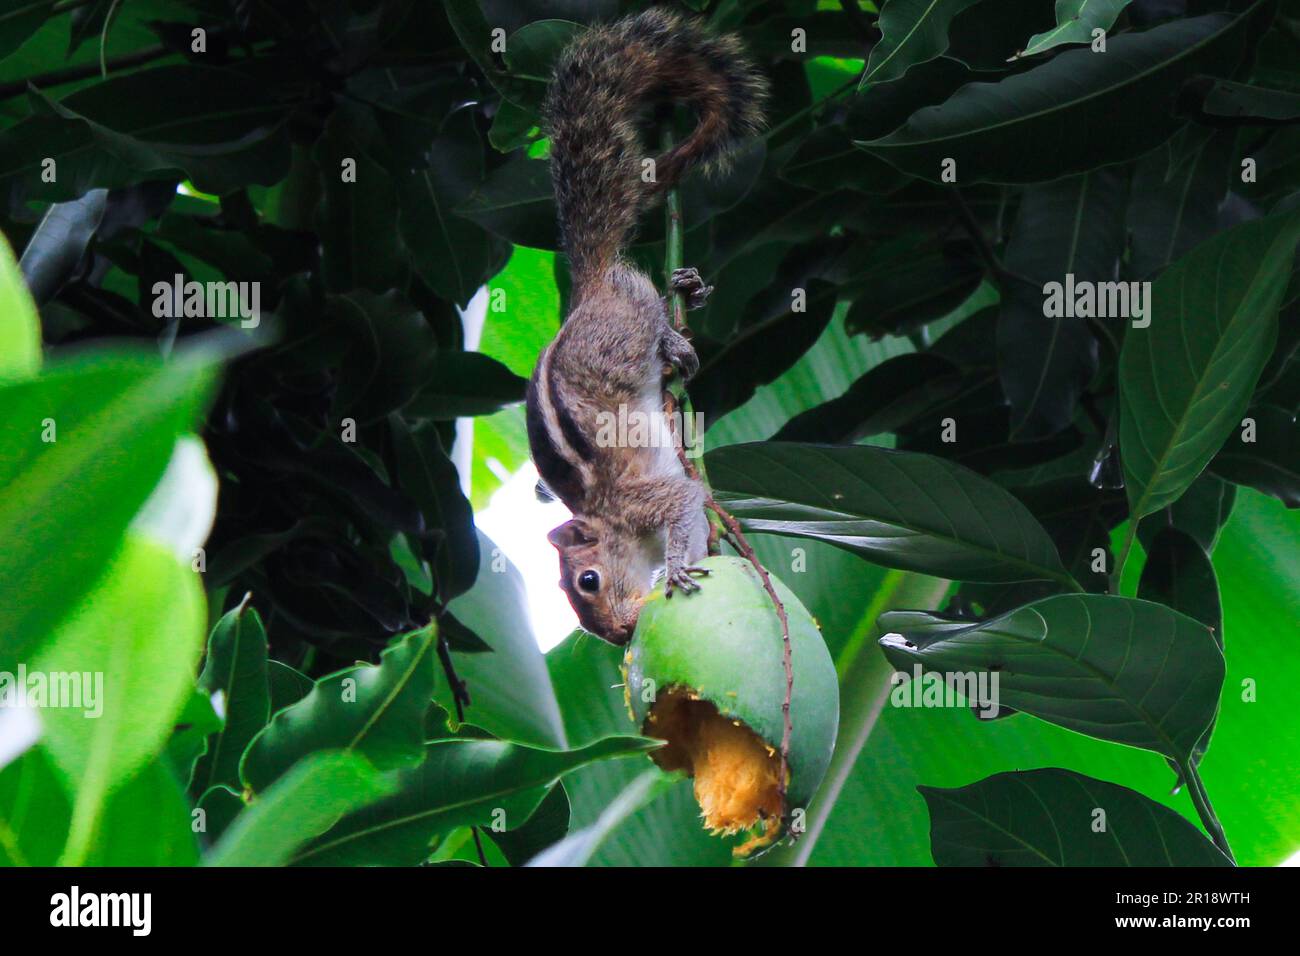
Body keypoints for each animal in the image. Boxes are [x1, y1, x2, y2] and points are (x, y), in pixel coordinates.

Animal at [526, 9, 767, 645]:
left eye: (585, 581)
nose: (617, 634)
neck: (612, 525)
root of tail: (587, 293)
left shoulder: (647, 498)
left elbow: (685, 500)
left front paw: (679, 566)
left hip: (619, 336)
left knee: (649, 312)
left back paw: (678, 329)